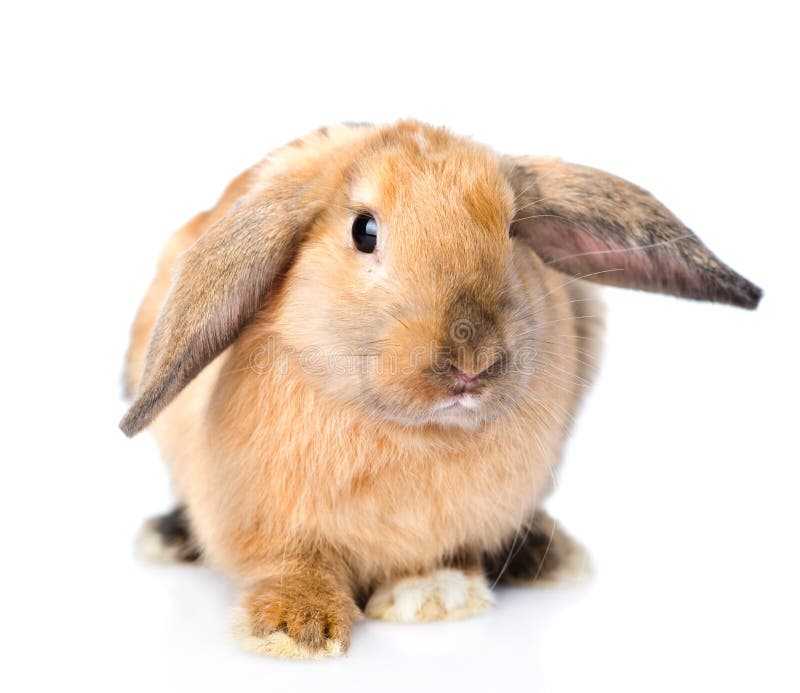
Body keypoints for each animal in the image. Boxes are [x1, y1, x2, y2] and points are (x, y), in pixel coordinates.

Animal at [121, 120, 761, 659]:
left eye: (512, 230)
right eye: (364, 230)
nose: (472, 359)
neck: (418, 433)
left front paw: (431, 594)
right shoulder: (264, 522)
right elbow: (292, 564)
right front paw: (295, 629)